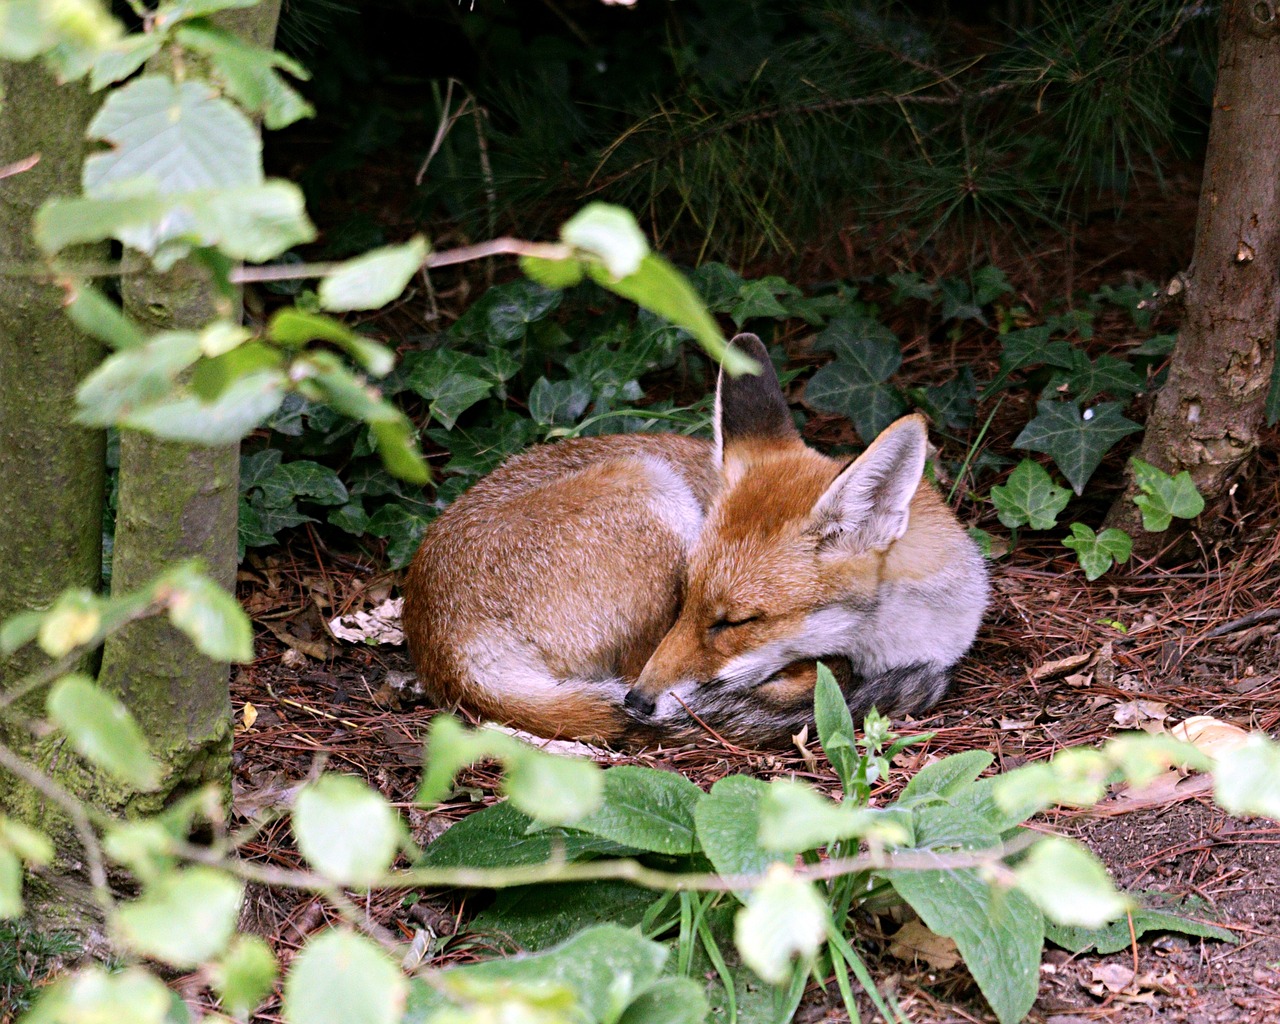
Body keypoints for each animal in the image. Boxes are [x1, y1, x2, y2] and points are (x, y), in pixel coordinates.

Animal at [402, 333, 988, 746]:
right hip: (652, 487)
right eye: (683, 600)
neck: (897, 639)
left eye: (736, 622)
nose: (637, 704)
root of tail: (439, 639)